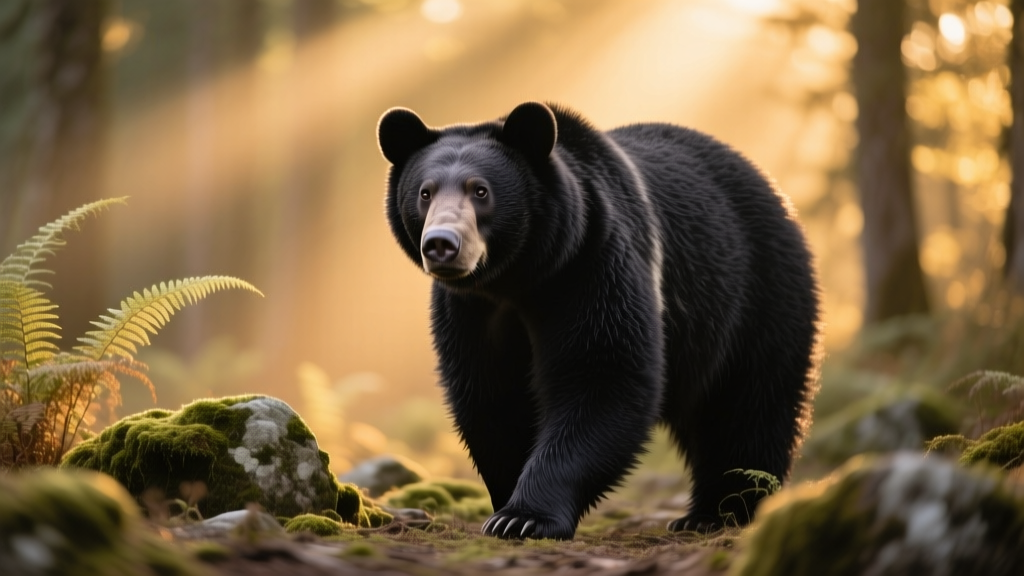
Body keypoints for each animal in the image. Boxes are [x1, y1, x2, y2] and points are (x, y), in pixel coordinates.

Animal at [377, 102, 820, 540]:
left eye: (480, 190)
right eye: (425, 192)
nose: (441, 245)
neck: (520, 278)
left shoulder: (593, 264)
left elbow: (602, 375)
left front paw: (524, 516)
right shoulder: (471, 310)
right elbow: (490, 394)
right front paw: (506, 502)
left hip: (756, 292)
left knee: (747, 405)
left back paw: (721, 511)